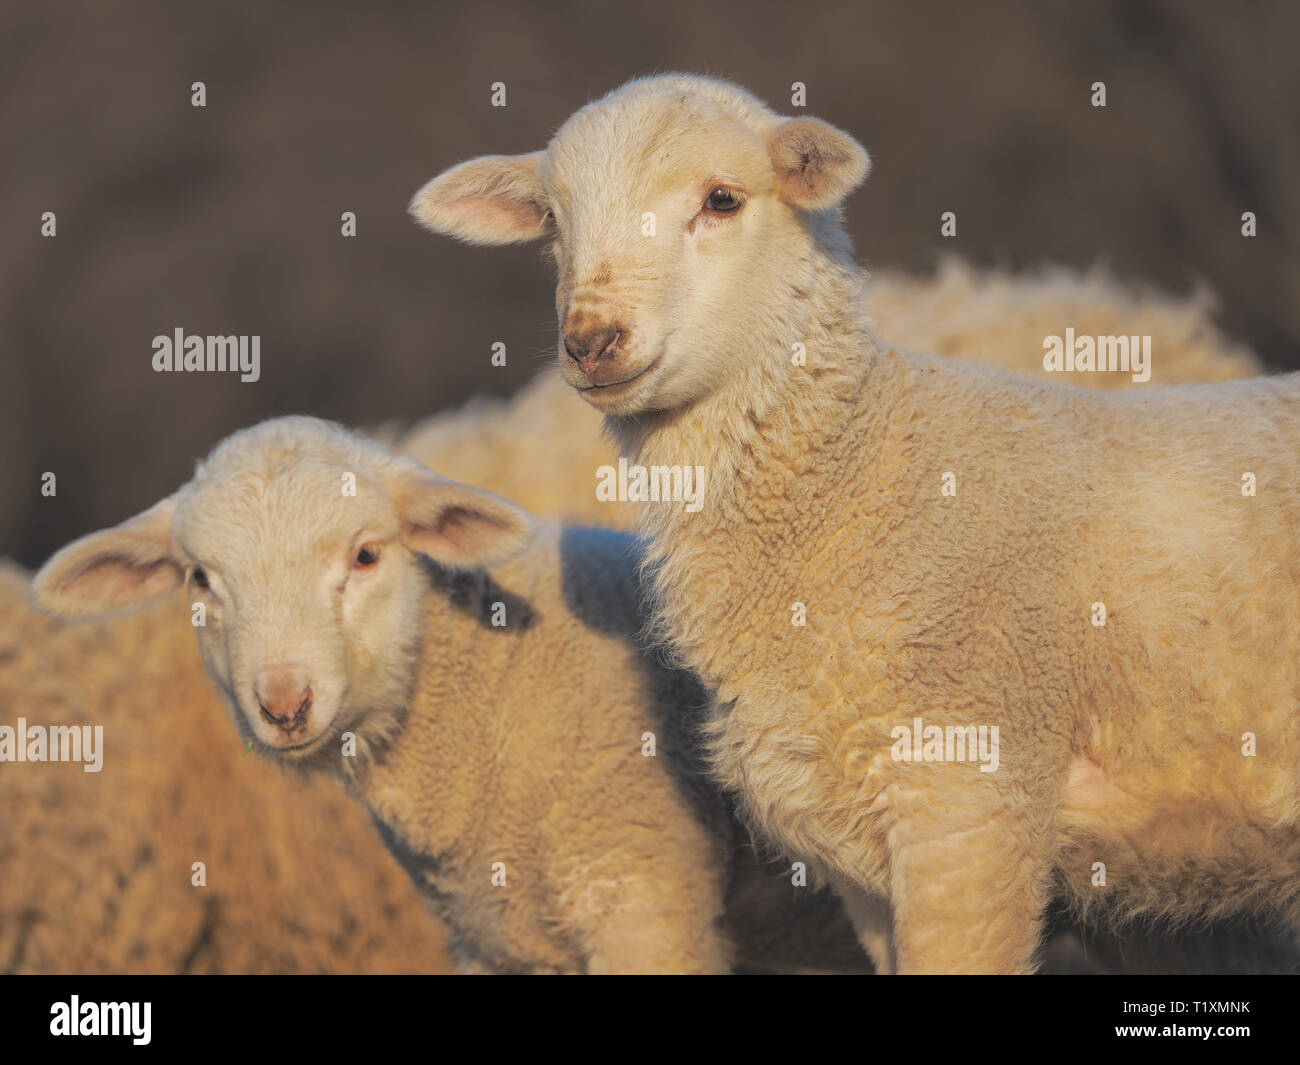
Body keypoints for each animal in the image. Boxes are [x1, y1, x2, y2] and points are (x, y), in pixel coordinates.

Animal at [409, 72, 1300, 974]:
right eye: (554, 225)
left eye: (721, 200)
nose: (592, 340)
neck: (854, 476)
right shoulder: (857, 851)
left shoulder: (972, 803)